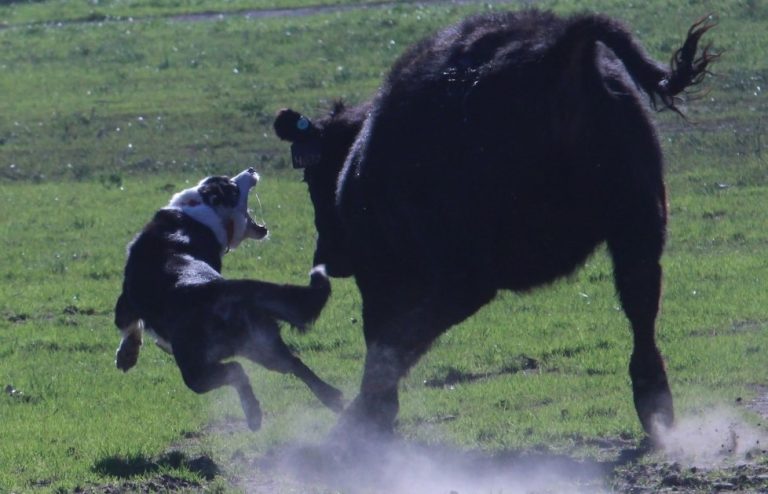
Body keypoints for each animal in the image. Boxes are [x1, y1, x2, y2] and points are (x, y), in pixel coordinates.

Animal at [273, 9, 716, 440]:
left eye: (312, 177)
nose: (327, 255)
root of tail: (563, 50)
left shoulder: (381, 273)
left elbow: (383, 338)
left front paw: (372, 412)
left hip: (469, 269)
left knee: (416, 328)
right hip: (638, 223)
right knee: (642, 308)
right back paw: (656, 410)